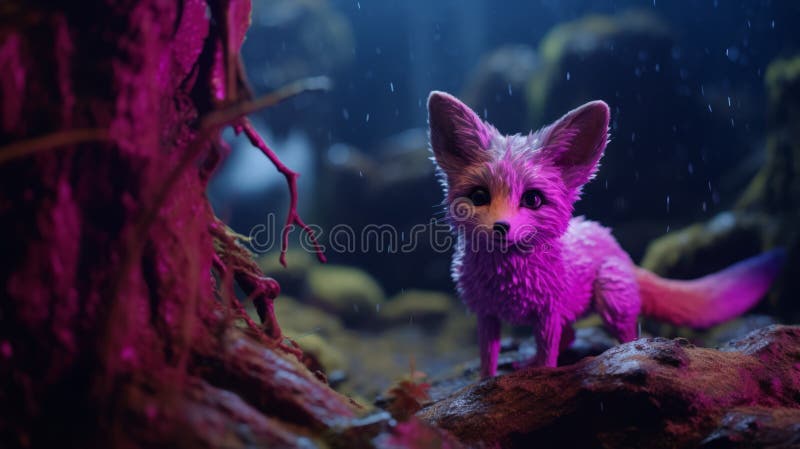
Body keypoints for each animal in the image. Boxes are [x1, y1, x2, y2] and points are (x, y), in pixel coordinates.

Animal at [427, 91, 786, 378]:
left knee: (631, 336)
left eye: (533, 199)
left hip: (610, 296)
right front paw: (484, 385)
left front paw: (539, 377)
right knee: (572, 336)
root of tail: (620, 251)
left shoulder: (548, 312)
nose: (501, 227)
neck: (507, 280)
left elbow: (546, 356)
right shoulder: (486, 313)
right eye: (479, 196)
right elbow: (487, 359)